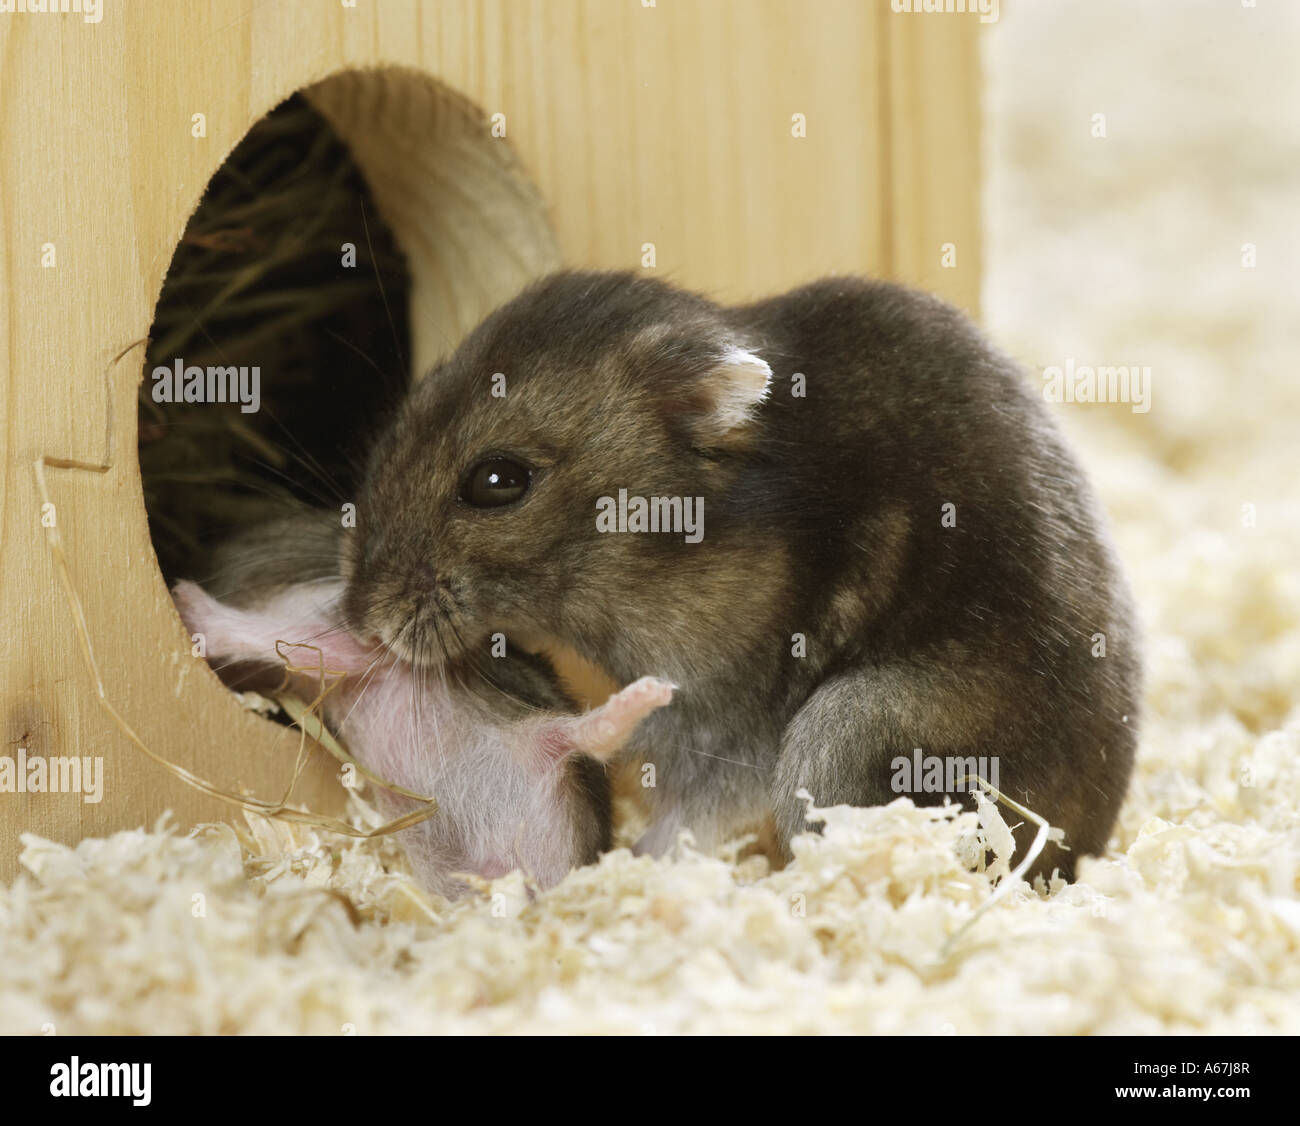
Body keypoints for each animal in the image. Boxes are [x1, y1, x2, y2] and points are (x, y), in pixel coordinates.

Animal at [172, 572, 674, 898]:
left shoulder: (351, 652)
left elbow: (278, 639)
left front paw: (184, 599)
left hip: (536, 741)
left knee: (585, 738)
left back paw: (653, 691)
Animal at [341, 270, 1141, 881]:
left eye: (498, 481)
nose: (359, 619)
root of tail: (1079, 852)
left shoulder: (724, 720)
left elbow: (688, 815)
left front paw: (627, 867)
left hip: (847, 728)